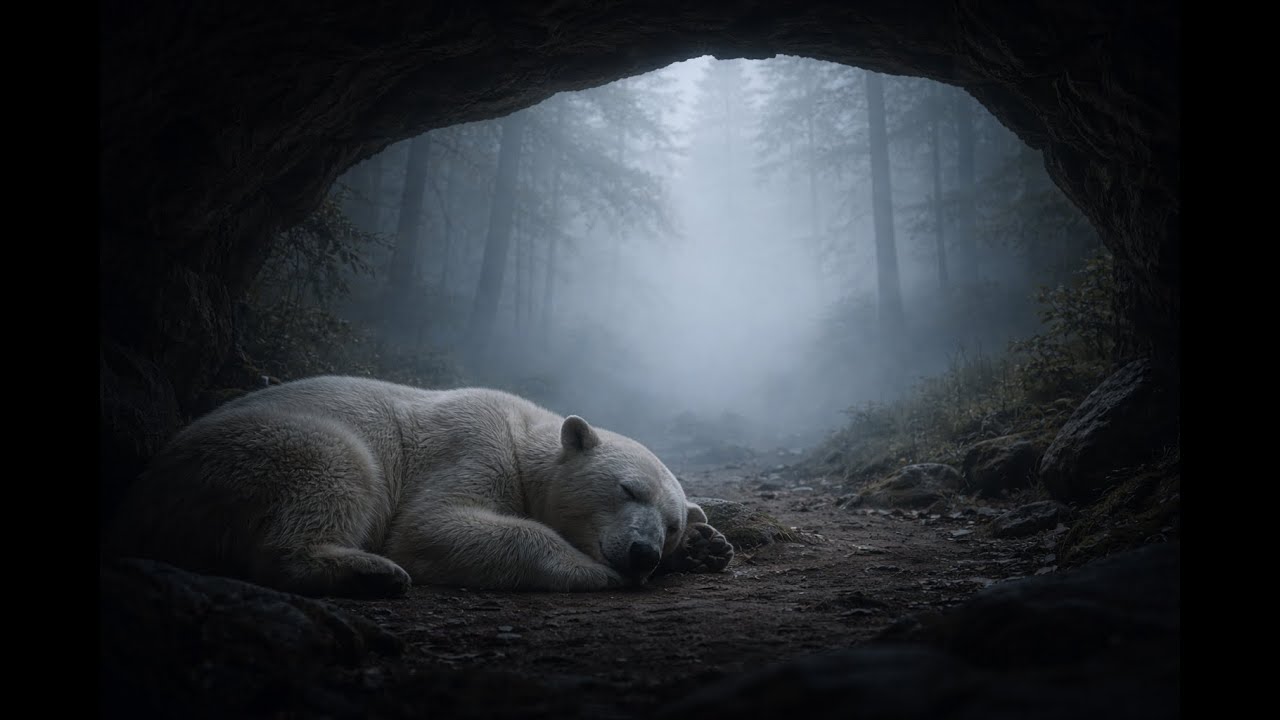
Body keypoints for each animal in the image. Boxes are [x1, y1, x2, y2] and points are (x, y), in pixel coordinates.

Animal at [105, 375, 733, 598]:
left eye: (672, 524)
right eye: (628, 490)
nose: (643, 552)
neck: (524, 434)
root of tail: (143, 497)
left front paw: (708, 548)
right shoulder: (472, 445)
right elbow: (434, 524)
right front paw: (594, 571)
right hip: (261, 449)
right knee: (337, 466)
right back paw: (367, 571)